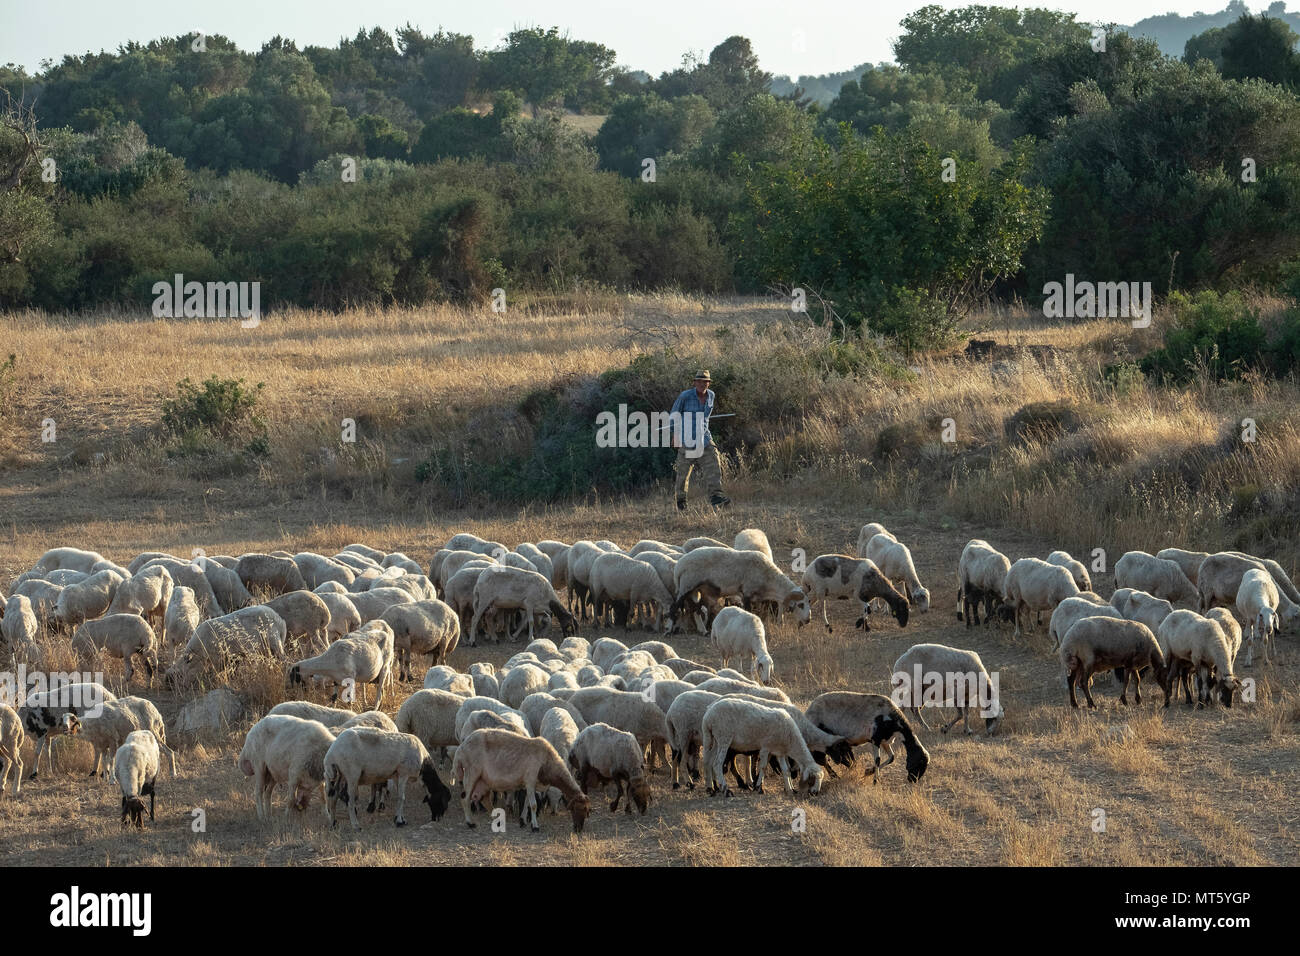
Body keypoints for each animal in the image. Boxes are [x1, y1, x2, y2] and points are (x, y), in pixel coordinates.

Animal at [452, 729, 590, 832]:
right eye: (579, 808)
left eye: (587, 810)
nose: (579, 829)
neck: (547, 762)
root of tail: (461, 747)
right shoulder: (530, 780)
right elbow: (533, 805)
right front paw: (535, 826)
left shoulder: (529, 784)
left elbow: (527, 803)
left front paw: (523, 821)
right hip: (472, 772)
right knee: (465, 798)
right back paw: (470, 823)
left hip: (483, 780)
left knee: (484, 799)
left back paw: (497, 820)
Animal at [674, 547, 811, 630]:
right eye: (800, 605)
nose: (808, 620)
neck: (768, 579)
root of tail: (679, 567)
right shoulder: (746, 594)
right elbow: (749, 612)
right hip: (686, 586)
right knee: (675, 607)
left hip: (695, 591)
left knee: (694, 609)